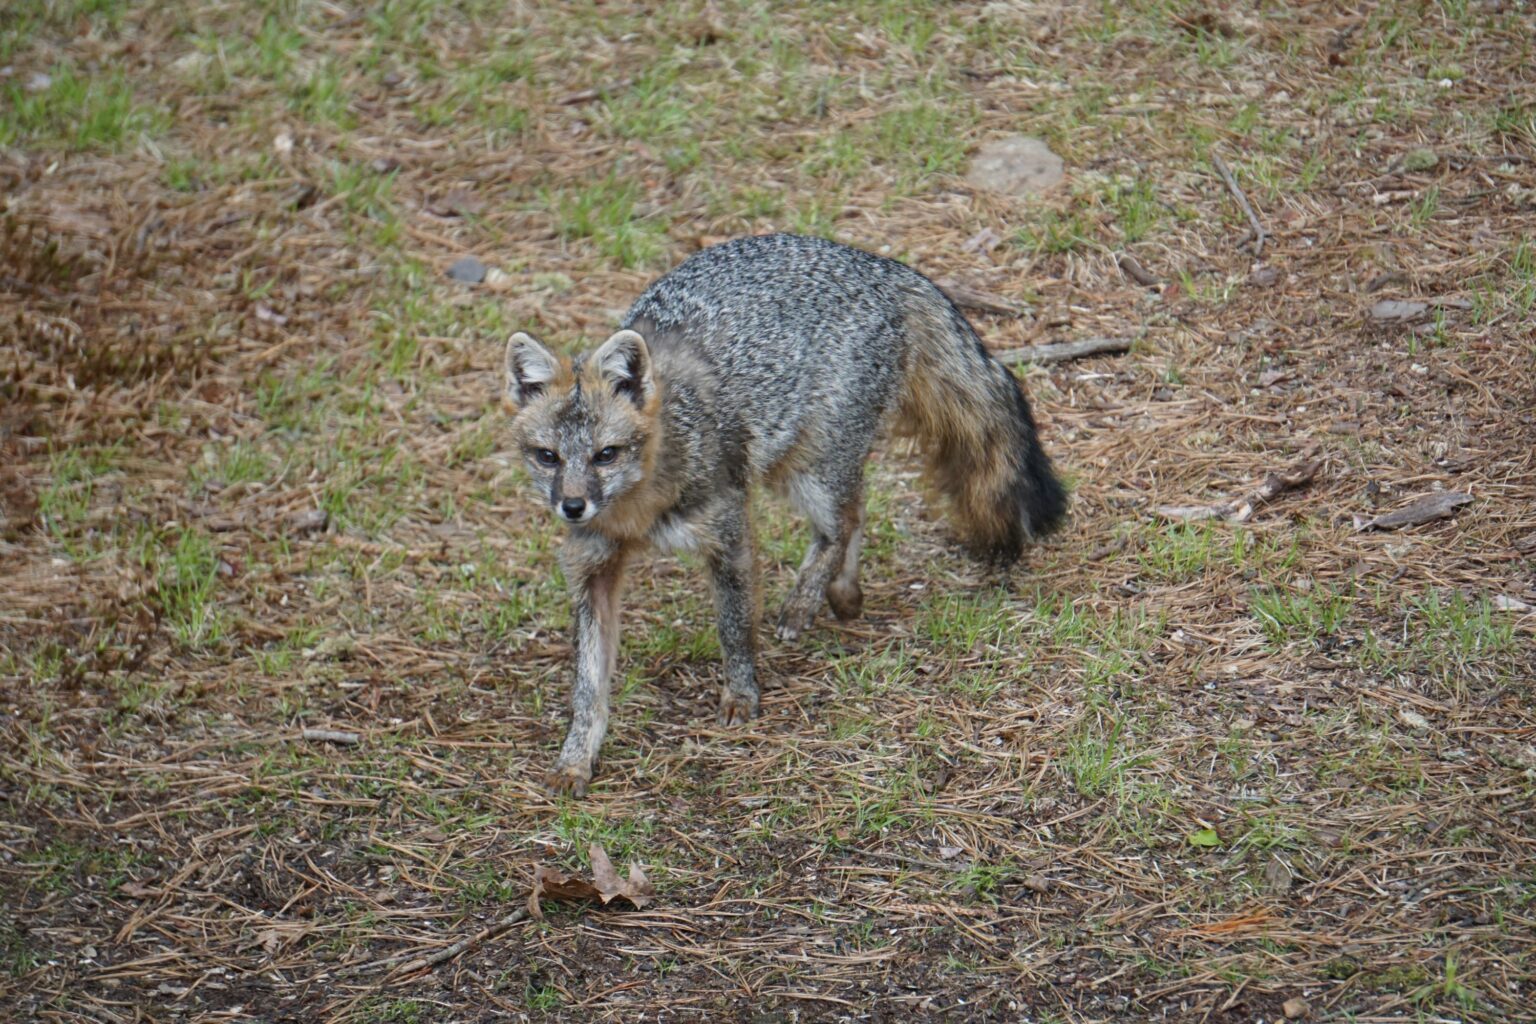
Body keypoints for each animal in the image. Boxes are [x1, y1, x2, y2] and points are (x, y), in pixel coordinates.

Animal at [503, 233, 1066, 795]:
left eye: (606, 454)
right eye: (548, 457)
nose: (572, 506)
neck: (637, 514)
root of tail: (878, 264)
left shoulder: (728, 534)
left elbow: (734, 629)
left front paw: (740, 695)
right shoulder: (594, 566)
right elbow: (588, 684)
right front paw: (576, 758)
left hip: (808, 471)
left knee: (843, 521)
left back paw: (804, 600)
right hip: (794, 467)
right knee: (858, 506)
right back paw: (843, 592)